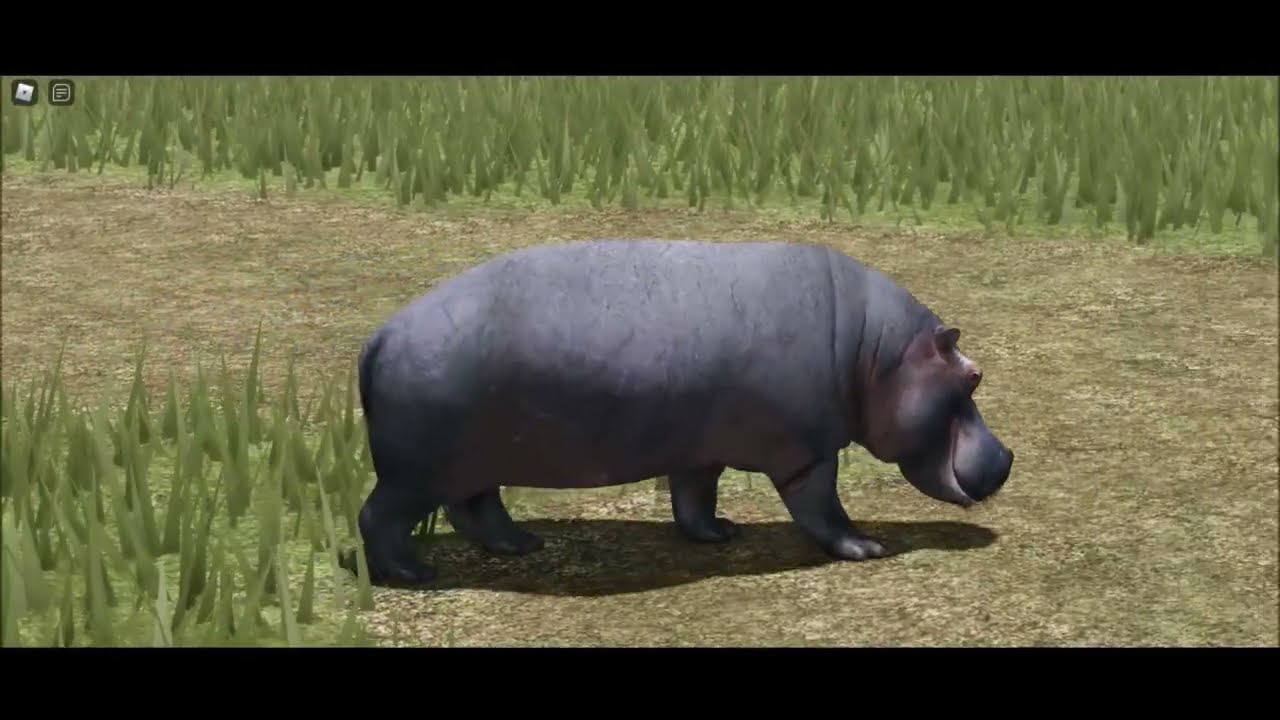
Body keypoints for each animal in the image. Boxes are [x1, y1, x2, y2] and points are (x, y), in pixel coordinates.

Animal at [346, 239, 1014, 587]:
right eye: (973, 376)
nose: (1009, 458)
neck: (877, 354)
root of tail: (378, 335)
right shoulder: (806, 452)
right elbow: (822, 507)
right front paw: (867, 547)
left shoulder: (700, 446)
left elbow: (694, 496)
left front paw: (721, 534)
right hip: (413, 473)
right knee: (378, 516)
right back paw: (414, 574)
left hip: (472, 460)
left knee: (477, 508)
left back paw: (522, 547)